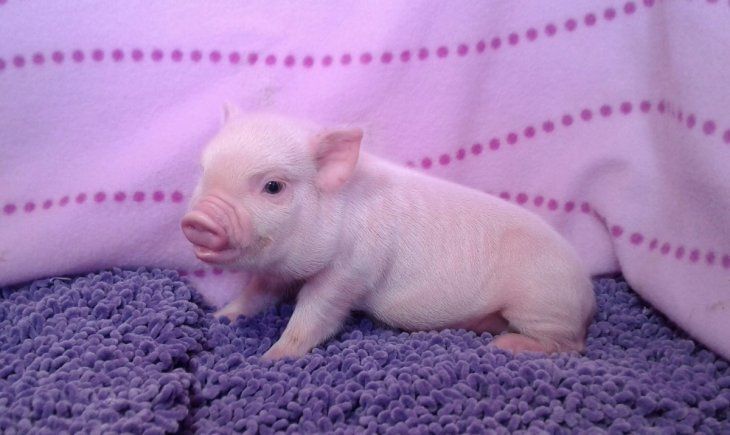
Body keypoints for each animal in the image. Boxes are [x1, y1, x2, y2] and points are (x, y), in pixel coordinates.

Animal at [181, 105, 596, 360]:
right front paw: (221, 316)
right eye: (202, 171)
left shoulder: (351, 272)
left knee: (570, 344)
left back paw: (506, 345)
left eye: (272, 187)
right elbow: (255, 294)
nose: (197, 220)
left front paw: (272, 357)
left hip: (541, 300)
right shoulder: (279, 270)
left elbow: (316, 314)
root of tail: (588, 293)